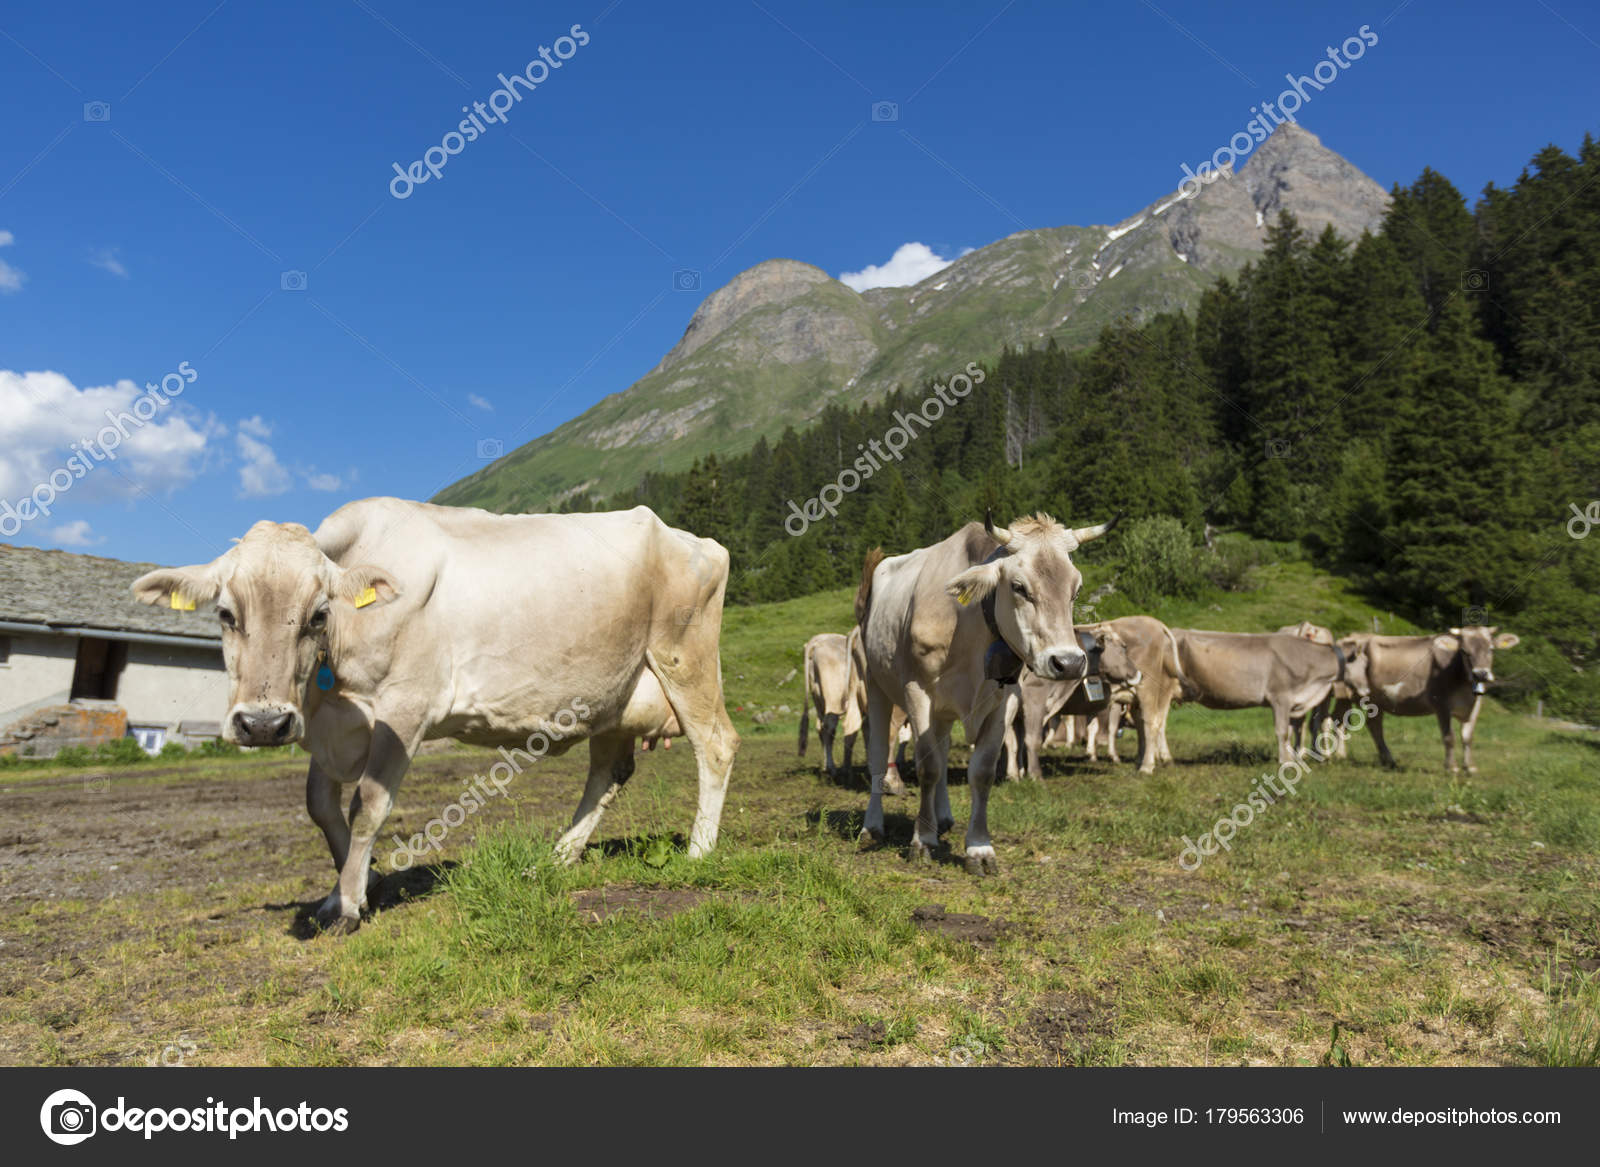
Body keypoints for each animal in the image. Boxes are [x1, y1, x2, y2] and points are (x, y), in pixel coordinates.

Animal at [131, 498, 740, 934]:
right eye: (225, 614)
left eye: (318, 615)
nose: (262, 723)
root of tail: (693, 538)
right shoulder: (328, 724)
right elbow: (320, 806)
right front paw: (358, 885)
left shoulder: (405, 705)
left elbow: (368, 806)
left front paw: (346, 906)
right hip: (610, 696)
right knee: (609, 772)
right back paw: (554, 860)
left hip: (684, 659)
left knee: (715, 744)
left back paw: (697, 853)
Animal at [855, 512, 1112, 873]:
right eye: (1019, 587)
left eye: (1075, 590)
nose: (1069, 662)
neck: (970, 623)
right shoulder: (918, 691)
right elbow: (928, 768)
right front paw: (922, 841)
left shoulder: (1006, 699)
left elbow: (983, 770)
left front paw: (978, 848)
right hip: (876, 684)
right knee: (880, 751)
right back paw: (872, 826)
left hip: (943, 710)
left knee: (943, 747)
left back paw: (942, 818)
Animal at [1170, 629, 1370, 764]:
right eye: (1364, 663)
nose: (1368, 690)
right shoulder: (1280, 698)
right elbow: (1282, 731)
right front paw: (1285, 761)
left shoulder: (1293, 703)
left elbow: (1291, 730)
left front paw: (1291, 756)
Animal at [1333, 626, 1518, 772]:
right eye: (1464, 651)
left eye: (1491, 649)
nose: (1481, 674)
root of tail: (1349, 637)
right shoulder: (1440, 703)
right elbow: (1449, 736)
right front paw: (1451, 767)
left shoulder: (1475, 705)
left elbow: (1468, 736)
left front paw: (1470, 767)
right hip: (1344, 693)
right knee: (1340, 721)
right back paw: (1340, 755)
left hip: (1374, 700)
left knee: (1374, 726)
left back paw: (1387, 760)